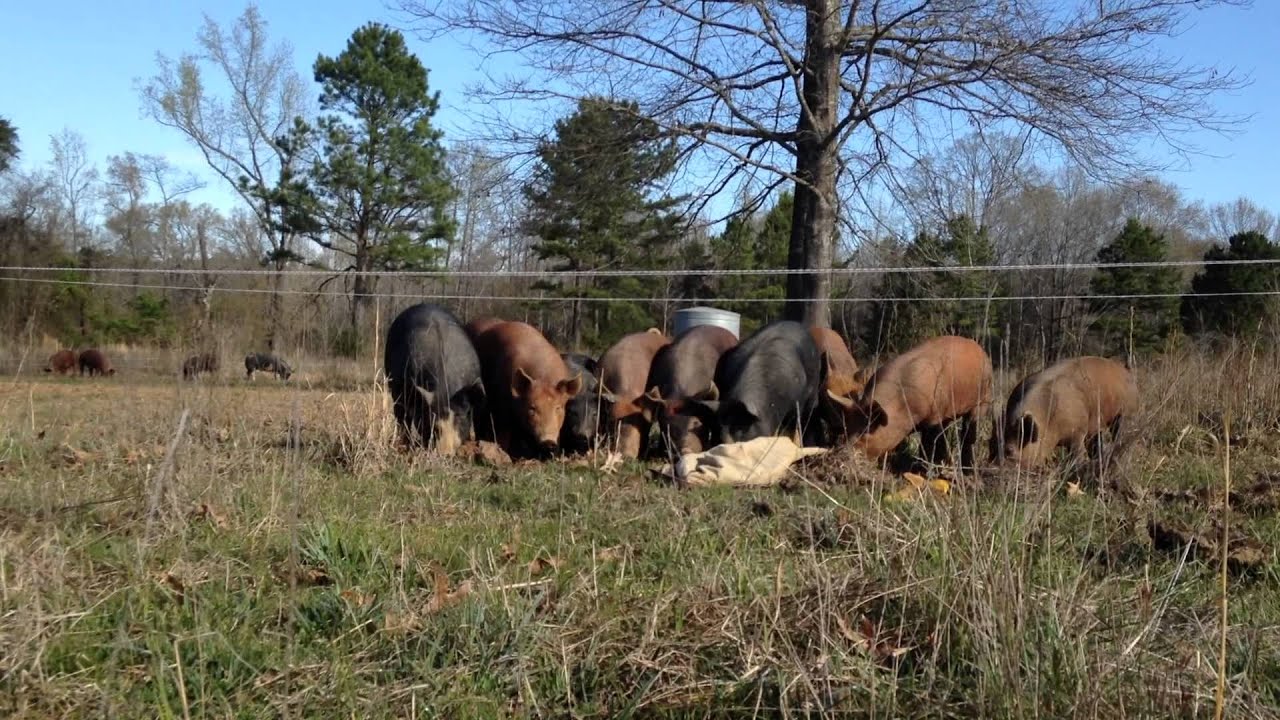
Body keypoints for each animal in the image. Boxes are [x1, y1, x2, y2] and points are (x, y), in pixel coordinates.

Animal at [472, 321, 583, 458]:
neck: (544, 377)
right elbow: (503, 434)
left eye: (558, 408)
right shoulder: (502, 409)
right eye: (532, 408)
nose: (548, 441)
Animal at [825, 335, 992, 470]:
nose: (839, 457)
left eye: (865, 432)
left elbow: (929, 446)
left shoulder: (934, 419)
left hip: (983, 399)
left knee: (969, 434)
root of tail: (980, 349)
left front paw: (923, 470)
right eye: (847, 428)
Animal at [990, 356, 1138, 468]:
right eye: (990, 443)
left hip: (1125, 413)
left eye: (1010, 451)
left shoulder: (1078, 432)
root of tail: (1125, 370)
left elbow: (1077, 453)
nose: (991, 467)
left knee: (1119, 433)